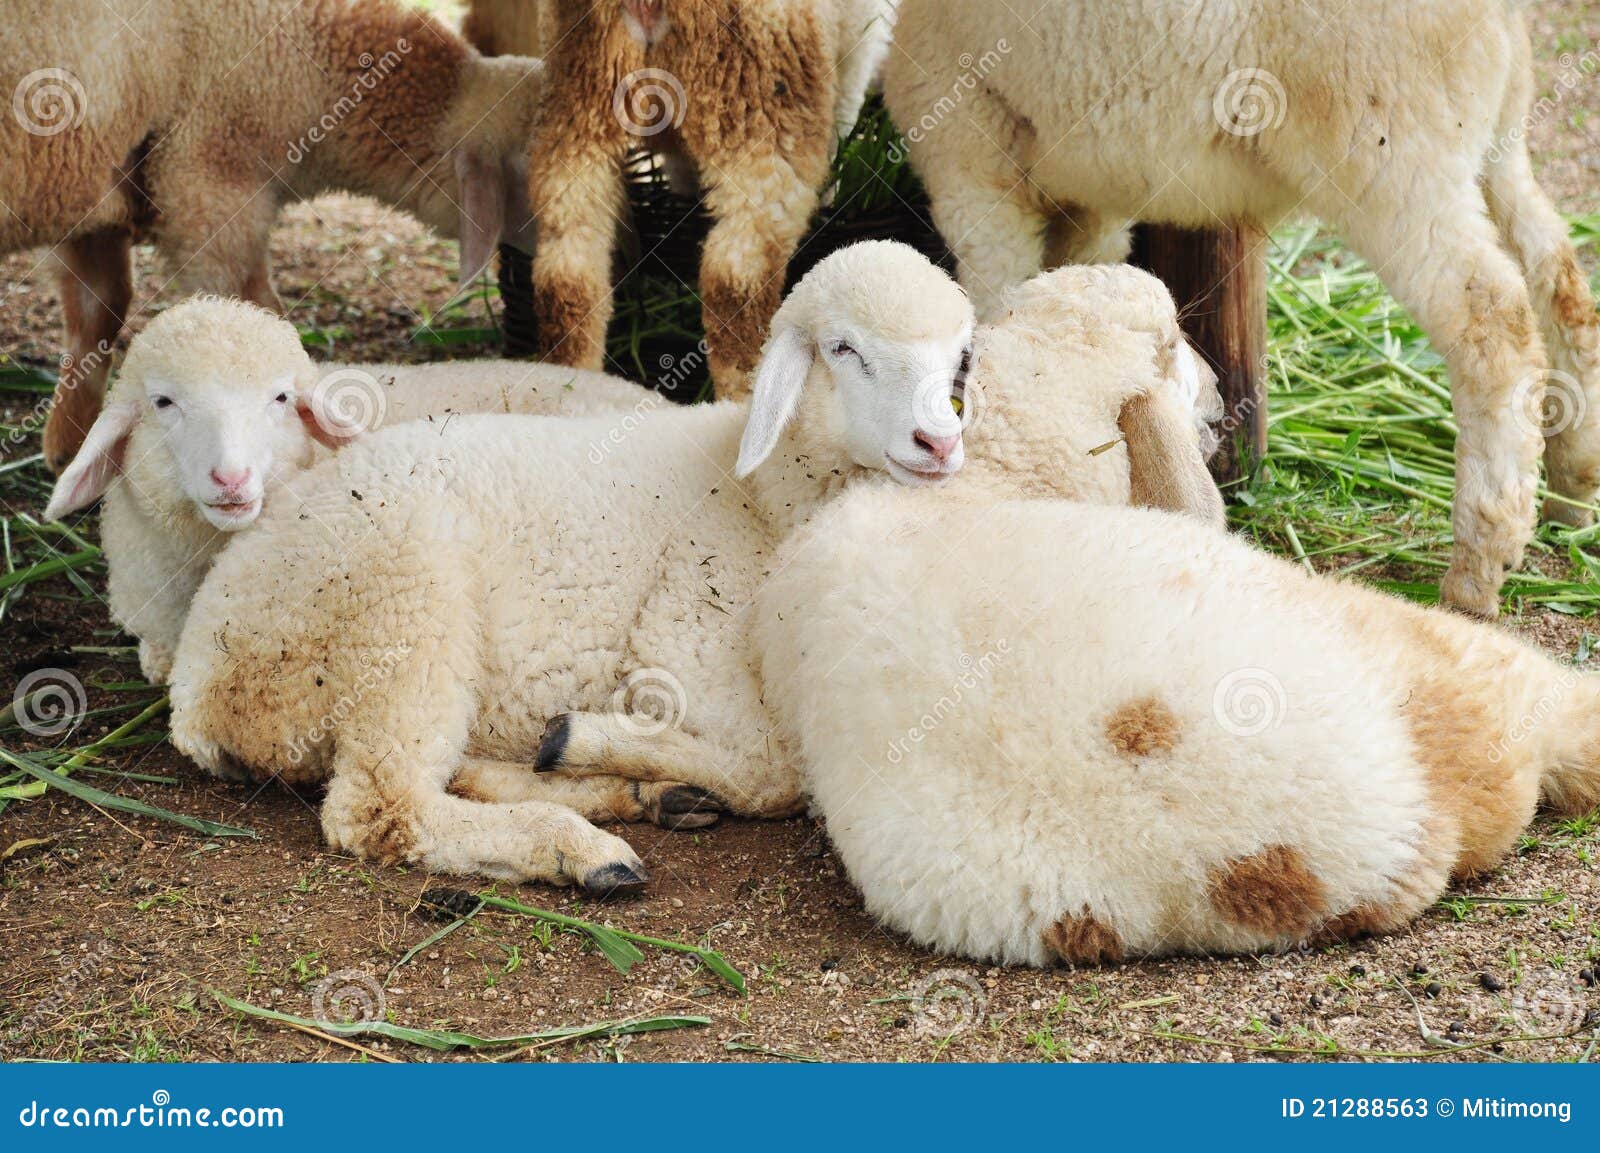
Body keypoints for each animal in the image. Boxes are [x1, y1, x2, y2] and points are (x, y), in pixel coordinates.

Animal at [3, 0, 544, 473]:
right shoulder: (206, 181)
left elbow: (98, 311)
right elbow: (254, 314)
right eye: (531, 175)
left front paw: (70, 448)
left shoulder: (88, 194)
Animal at [163, 242, 976, 890]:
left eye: (959, 359)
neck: (762, 499)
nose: (939, 442)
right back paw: (578, 846)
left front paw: (599, 754)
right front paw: (595, 745)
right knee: (382, 805)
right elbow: (777, 770)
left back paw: (615, 789)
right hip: (403, 605)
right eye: (844, 350)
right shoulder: (685, 647)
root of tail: (197, 678)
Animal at [529, 0, 896, 397]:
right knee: (734, 274)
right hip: (759, 113)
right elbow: (844, 115)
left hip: (579, 107)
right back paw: (743, 390)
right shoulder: (860, 39)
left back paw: (572, 376)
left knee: (569, 266)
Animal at [882, 0, 1600, 618]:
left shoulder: (970, 142)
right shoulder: (1086, 193)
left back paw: (1480, 563)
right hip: (1495, 138)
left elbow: (995, 305)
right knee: (1557, 274)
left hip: (1395, 149)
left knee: (1492, 316)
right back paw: (1571, 488)